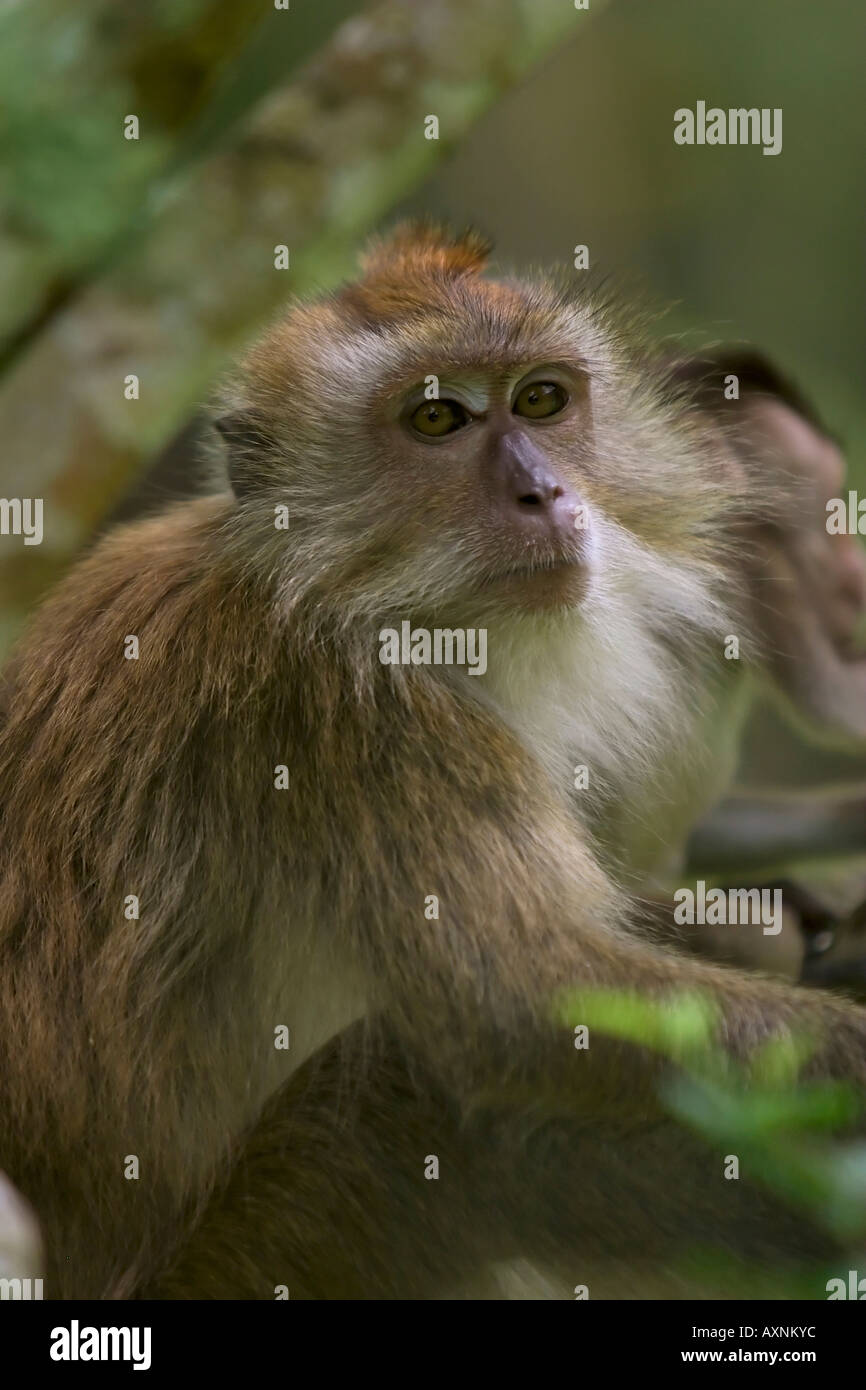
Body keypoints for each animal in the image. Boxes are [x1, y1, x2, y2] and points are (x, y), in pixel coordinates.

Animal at [1, 221, 866, 1301]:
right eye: (435, 419)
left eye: (541, 400)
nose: (543, 491)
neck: (345, 590)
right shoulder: (355, 716)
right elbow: (523, 1005)